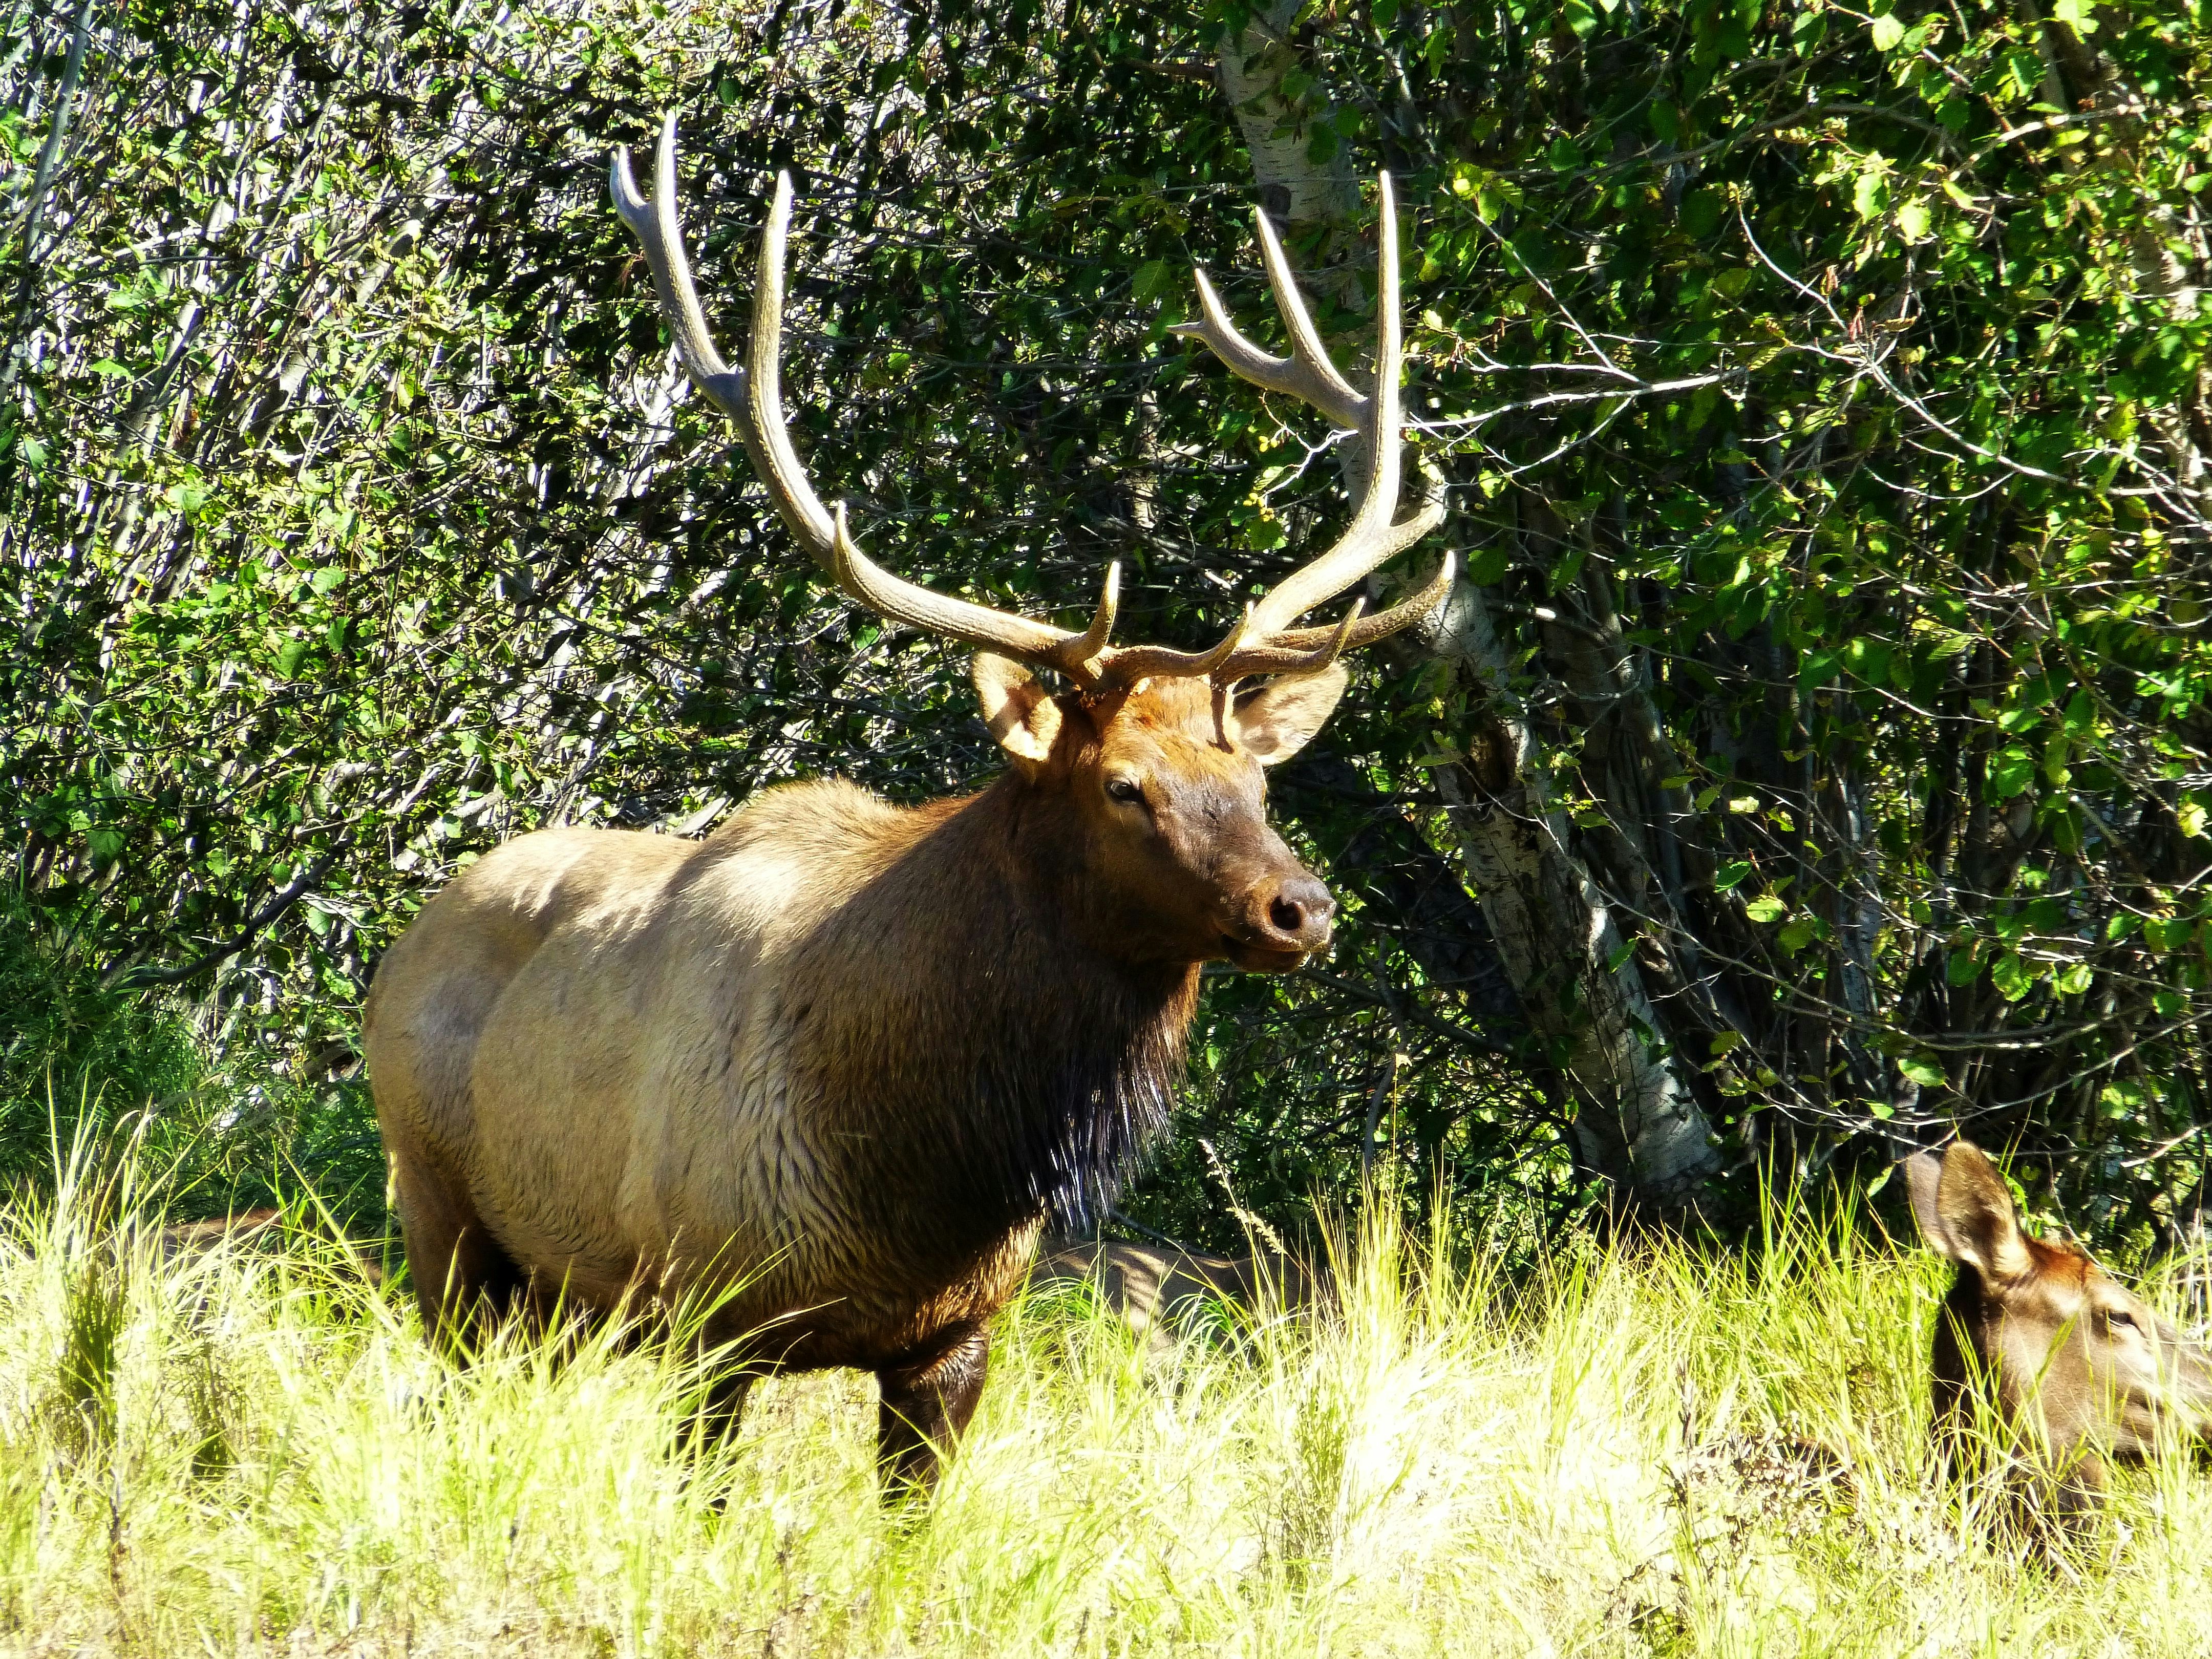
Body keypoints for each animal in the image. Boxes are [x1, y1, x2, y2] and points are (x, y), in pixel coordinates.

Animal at [362, 115, 1452, 1492]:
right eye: (1123, 785)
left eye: (1255, 779)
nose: (1299, 907)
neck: (922, 1164)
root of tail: (406, 938)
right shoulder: (710, 1315)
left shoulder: (958, 1335)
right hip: (443, 1221)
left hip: (554, 1297)